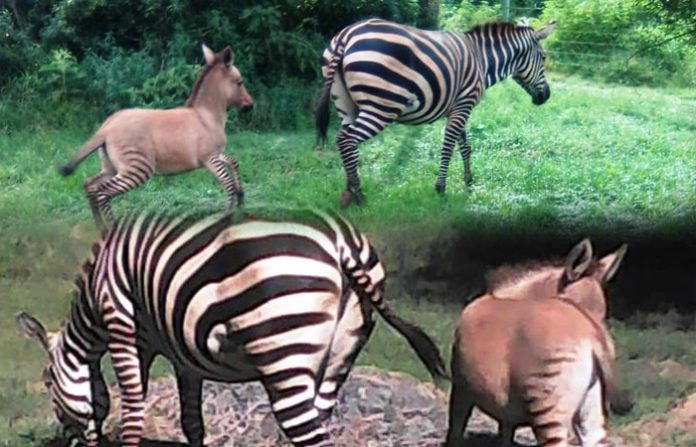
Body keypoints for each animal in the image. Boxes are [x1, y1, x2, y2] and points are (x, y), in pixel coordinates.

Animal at [17, 210, 447, 447]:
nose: (70, 441)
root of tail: (343, 244)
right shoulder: (181, 353)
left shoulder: (124, 327)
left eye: (47, 381)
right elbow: (192, 422)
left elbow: (133, 406)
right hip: (341, 353)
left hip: (284, 355)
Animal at [315, 18, 556, 207]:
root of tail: (347, 34)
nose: (546, 96)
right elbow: (448, 147)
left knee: (345, 142)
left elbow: (465, 147)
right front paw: (440, 188)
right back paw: (359, 196)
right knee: (347, 140)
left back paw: (349, 191)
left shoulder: (458, 107)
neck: (482, 59)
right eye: (544, 58)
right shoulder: (463, 105)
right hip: (381, 106)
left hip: (346, 106)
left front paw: (468, 182)